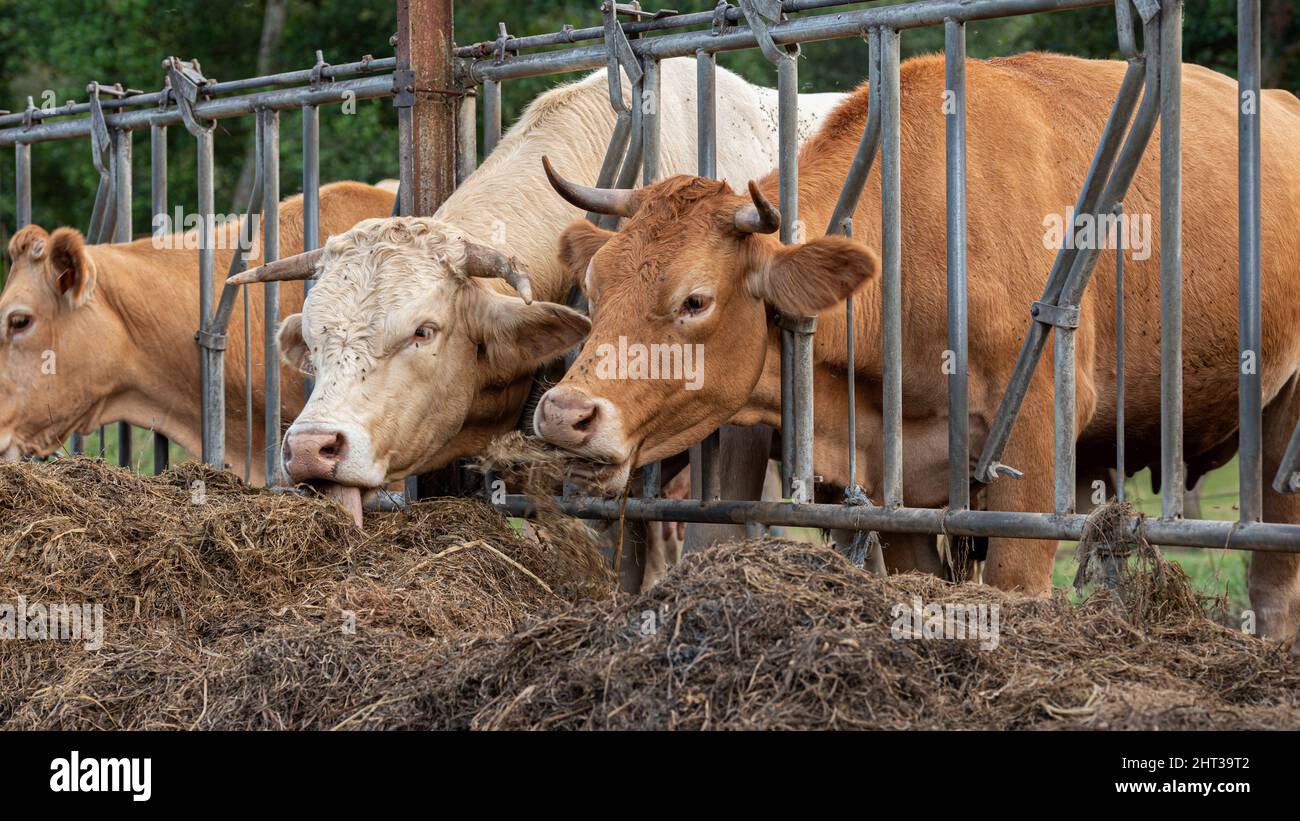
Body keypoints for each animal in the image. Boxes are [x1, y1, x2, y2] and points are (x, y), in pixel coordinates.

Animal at [535, 52, 1300, 647]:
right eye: (594, 286)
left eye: (695, 300)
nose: (563, 414)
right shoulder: (894, 476)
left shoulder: (1033, 447)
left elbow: (1013, 586)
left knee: (1273, 580)